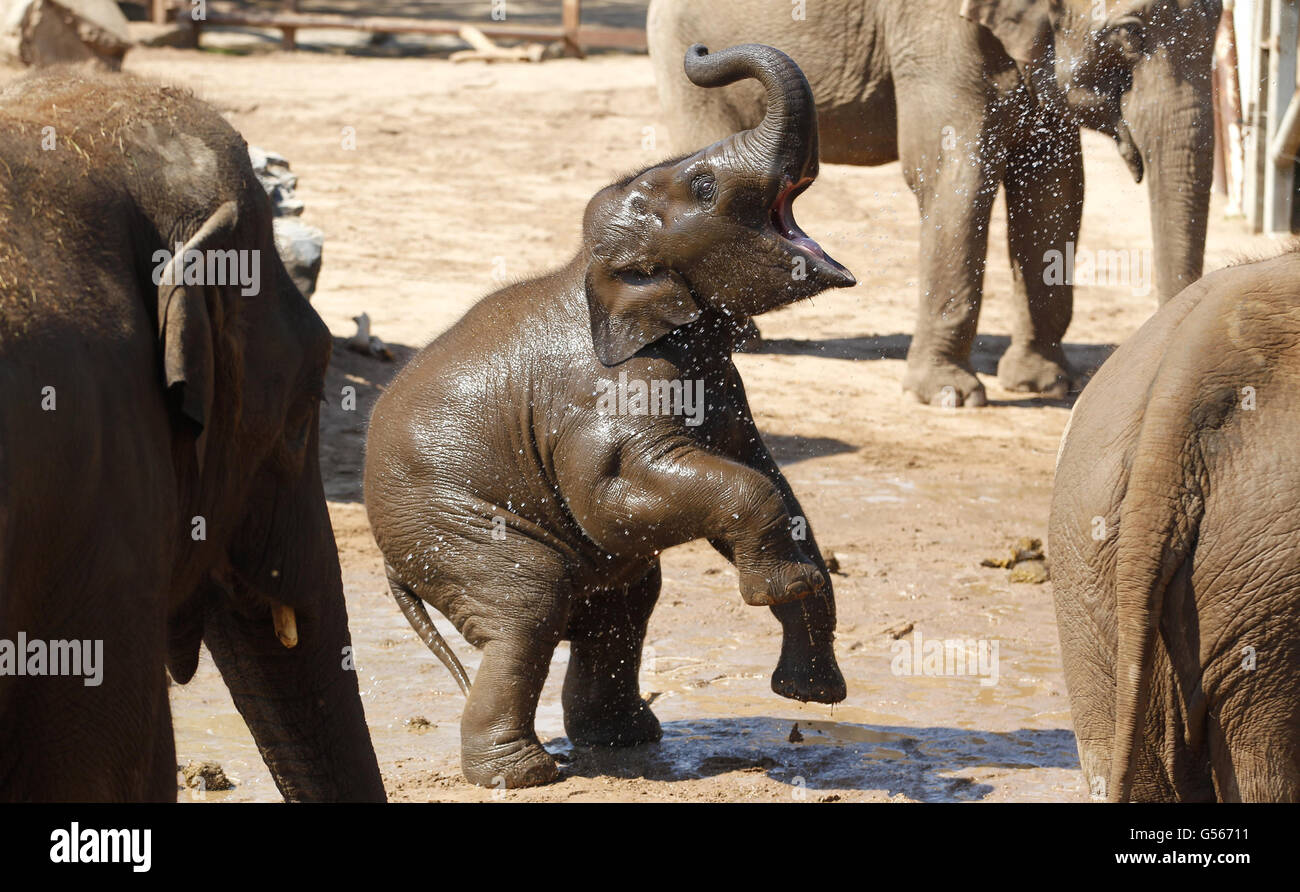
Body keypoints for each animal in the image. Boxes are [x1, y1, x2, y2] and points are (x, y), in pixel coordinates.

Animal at [364, 43, 852, 789]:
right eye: (703, 186)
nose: (700, 53)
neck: (601, 272)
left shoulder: (719, 384)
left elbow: (762, 473)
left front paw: (808, 671)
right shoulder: (607, 390)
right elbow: (614, 493)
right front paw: (783, 588)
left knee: (621, 607)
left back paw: (623, 742)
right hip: (448, 525)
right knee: (529, 605)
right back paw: (526, 775)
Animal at [649, 0, 1221, 406]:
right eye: (1130, 33)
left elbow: (1055, 185)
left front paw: (1042, 384)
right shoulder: (932, 32)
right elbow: (955, 172)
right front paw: (950, 397)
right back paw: (742, 340)